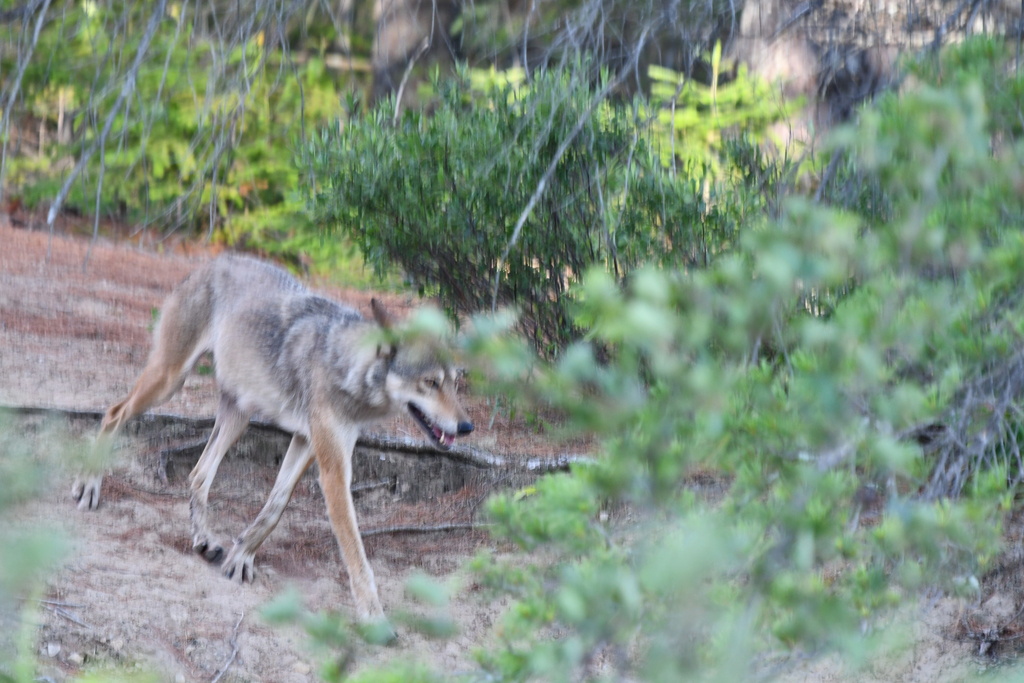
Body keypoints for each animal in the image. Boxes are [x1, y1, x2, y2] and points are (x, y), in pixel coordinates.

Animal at [73, 254, 474, 621]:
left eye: (454, 382)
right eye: (430, 383)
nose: (467, 426)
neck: (344, 367)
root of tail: (212, 260)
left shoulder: (308, 443)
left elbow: (275, 507)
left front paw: (241, 557)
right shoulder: (333, 470)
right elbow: (355, 554)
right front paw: (373, 616)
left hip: (238, 415)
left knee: (198, 473)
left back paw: (204, 540)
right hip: (168, 382)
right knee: (114, 413)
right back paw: (88, 486)